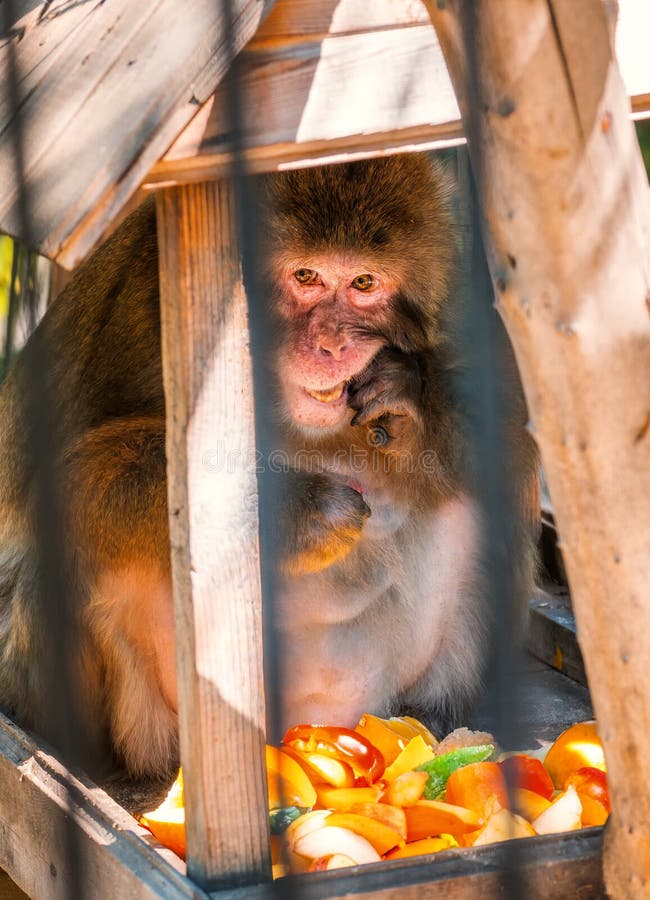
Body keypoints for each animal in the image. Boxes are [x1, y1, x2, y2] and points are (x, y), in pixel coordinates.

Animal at [0, 153, 538, 780]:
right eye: (305, 277)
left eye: (363, 283)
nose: (331, 345)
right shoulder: (143, 310)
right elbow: (56, 486)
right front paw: (297, 510)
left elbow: (517, 430)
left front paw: (412, 400)